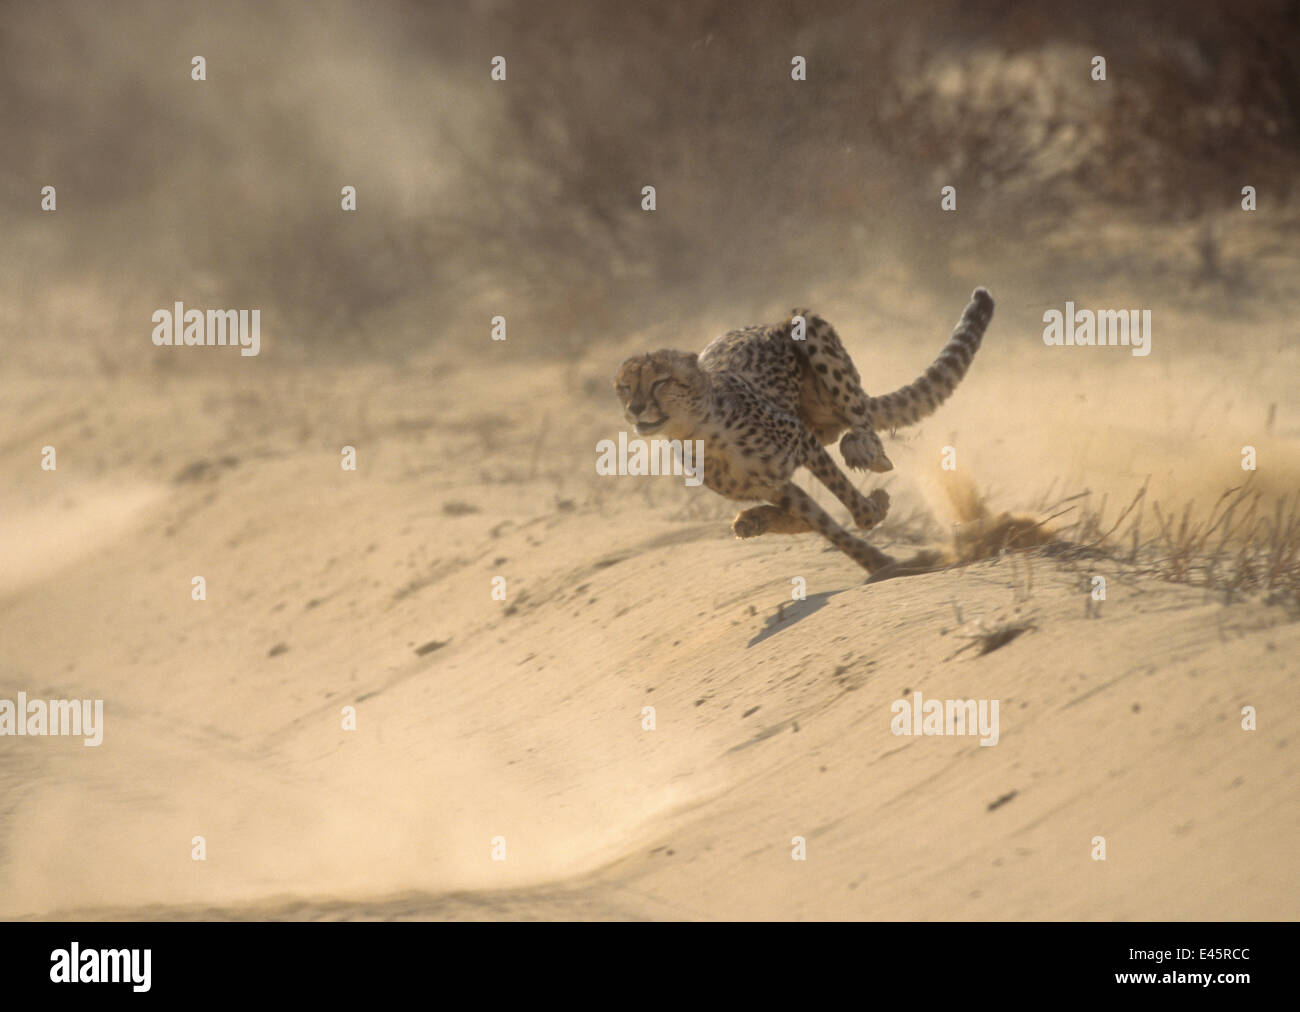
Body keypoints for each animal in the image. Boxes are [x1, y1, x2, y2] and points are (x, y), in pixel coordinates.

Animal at [613, 288, 995, 574]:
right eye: (624, 387)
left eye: (660, 382)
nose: (635, 409)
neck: (698, 431)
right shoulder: (772, 482)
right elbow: (821, 521)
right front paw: (874, 560)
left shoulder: (801, 441)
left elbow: (846, 499)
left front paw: (873, 511)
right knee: (801, 507)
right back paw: (752, 520)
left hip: (807, 328)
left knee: (861, 422)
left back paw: (863, 449)